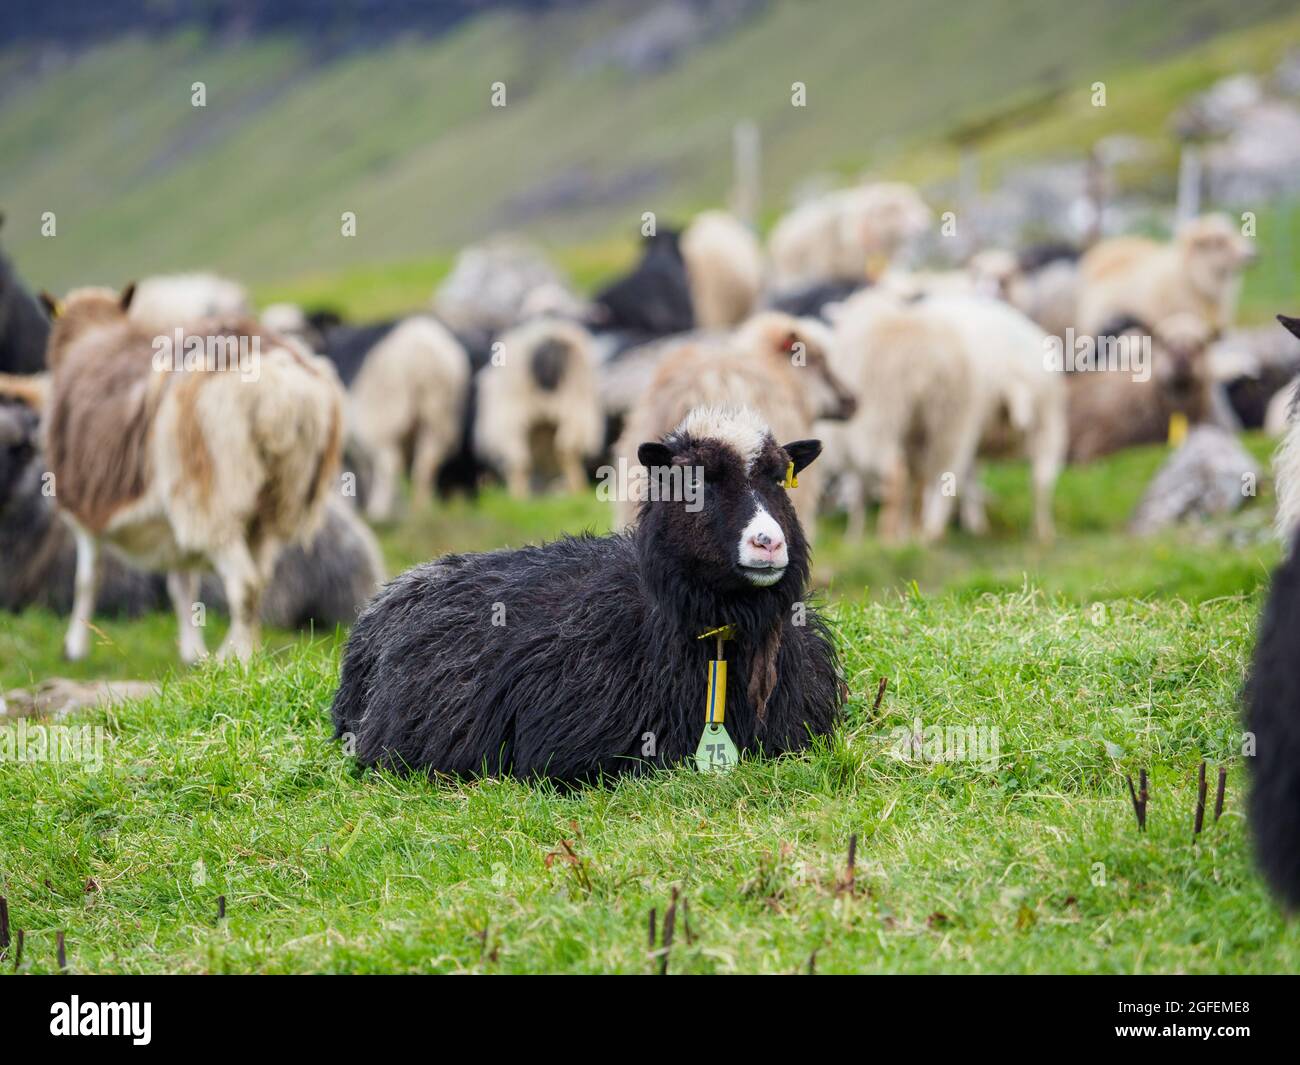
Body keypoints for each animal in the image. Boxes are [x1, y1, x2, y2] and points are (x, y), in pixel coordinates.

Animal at [43, 285, 343, 662]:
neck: (95, 335)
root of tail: (277, 389)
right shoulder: (174, 525)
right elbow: (182, 585)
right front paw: (192, 653)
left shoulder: (83, 514)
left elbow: (86, 580)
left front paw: (74, 647)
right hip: (273, 498)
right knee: (259, 579)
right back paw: (247, 653)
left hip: (215, 495)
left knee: (244, 583)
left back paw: (236, 658)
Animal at [347, 315, 471, 522]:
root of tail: (423, 355)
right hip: (440, 416)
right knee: (427, 463)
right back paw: (421, 509)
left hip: (388, 417)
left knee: (389, 464)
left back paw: (379, 511)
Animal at [475, 316, 603, 497]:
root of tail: (550, 340)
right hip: (575, 405)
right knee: (566, 449)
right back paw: (577, 489)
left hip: (513, 415)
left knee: (520, 458)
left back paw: (519, 496)